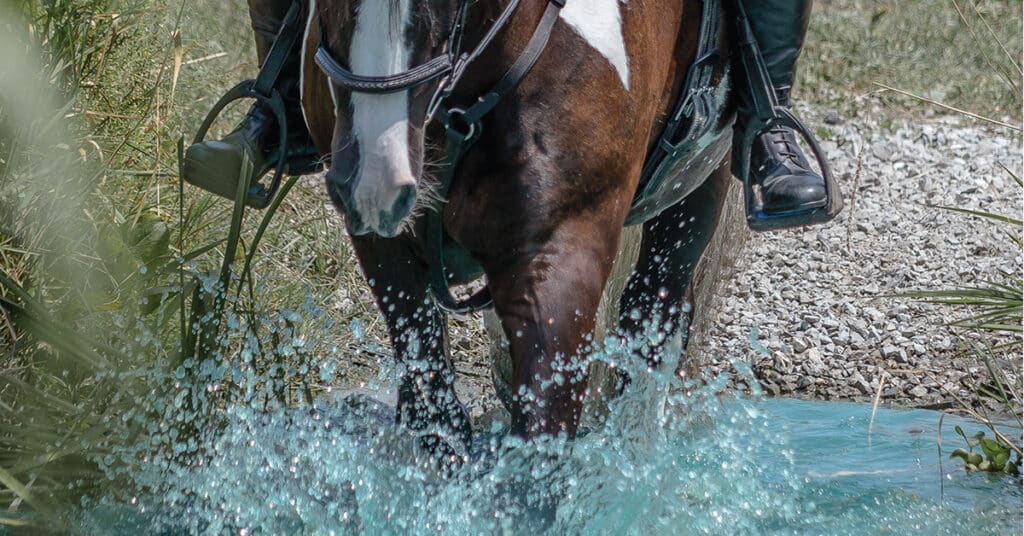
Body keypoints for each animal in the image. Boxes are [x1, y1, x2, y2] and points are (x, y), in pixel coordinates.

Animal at [296, 0, 735, 458]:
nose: (376, 179)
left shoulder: (561, 261)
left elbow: (537, 444)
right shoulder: (386, 253)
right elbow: (434, 412)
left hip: (697, 186)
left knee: (655, 315)